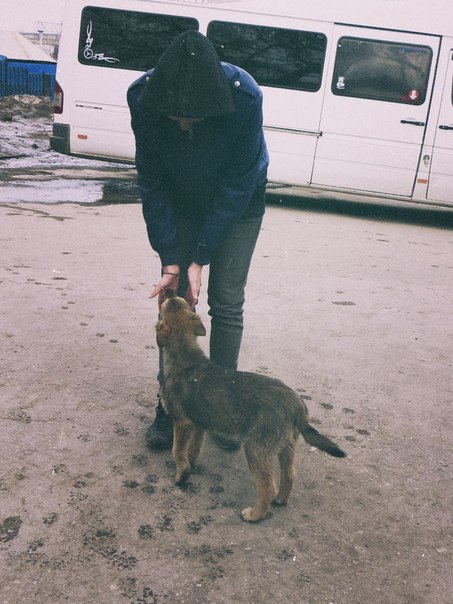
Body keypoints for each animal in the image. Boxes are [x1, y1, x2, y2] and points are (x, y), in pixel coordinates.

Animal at [156, 291, 346, 522]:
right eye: (179, 302)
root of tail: (296, 404)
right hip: (287, 445)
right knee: (289, 474)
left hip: (256, 448)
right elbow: (193, 448)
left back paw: (254, 515)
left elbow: (177, 450)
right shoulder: (199, 424)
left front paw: (181, 474)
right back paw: (281, 499)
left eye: (165, 305)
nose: (171, 292)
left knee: (267, 485)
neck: (185, 355)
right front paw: (190, 465)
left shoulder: (182, 422)